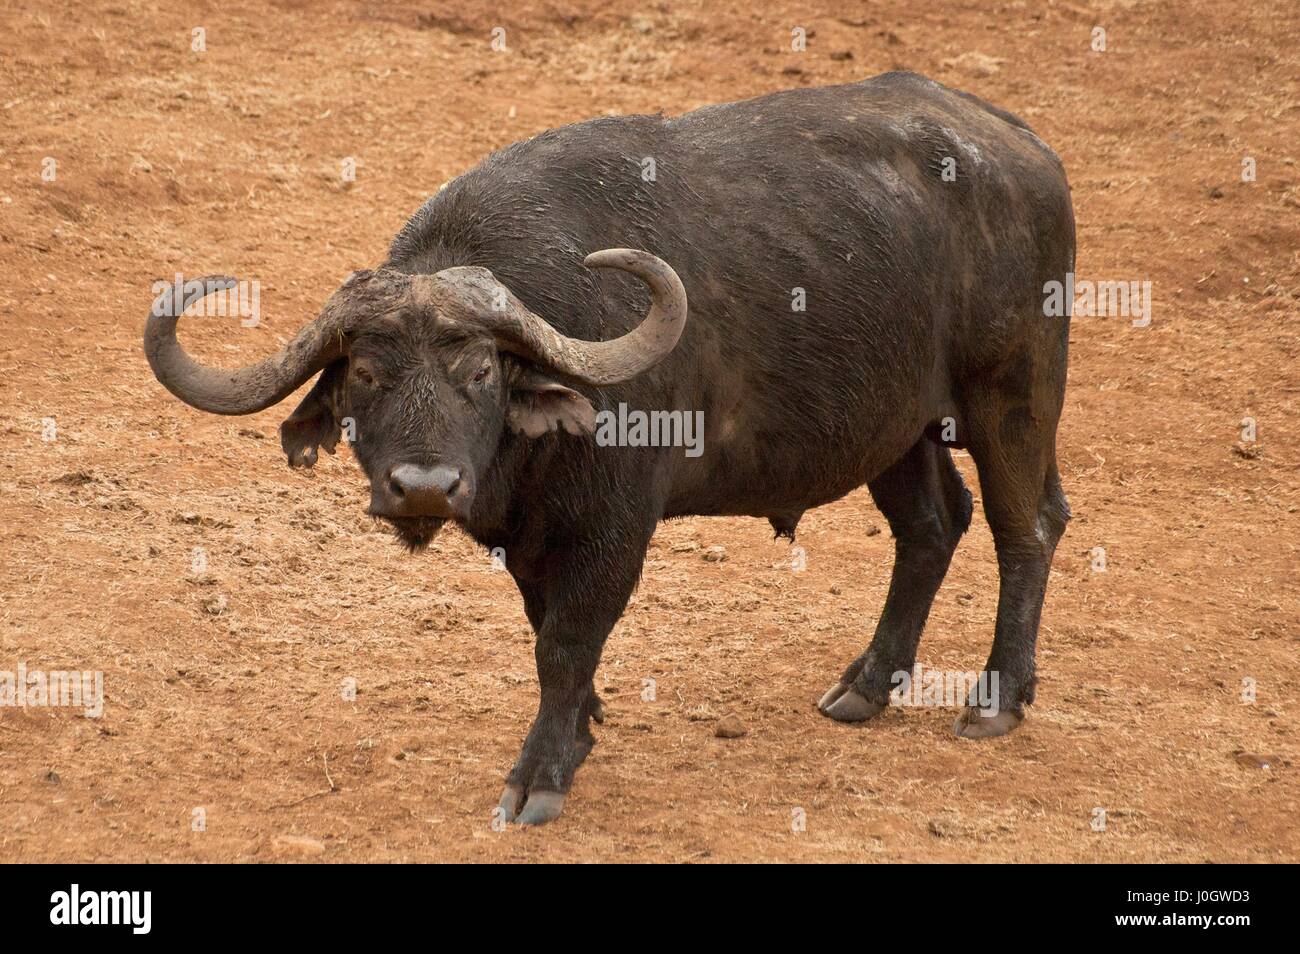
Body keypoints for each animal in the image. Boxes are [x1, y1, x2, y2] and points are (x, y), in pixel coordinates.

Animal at [146, 71, 1074, 825]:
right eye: (365, 375)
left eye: (480, 371)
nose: (425, 486)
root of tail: (1021, 149)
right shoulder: (532, 537)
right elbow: (543, 627)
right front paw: (586, 723)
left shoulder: (614, 527)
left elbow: (564, 641)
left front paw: (542, 773)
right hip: (894, 429)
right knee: (932, 525)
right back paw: (866, 685)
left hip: (1013, 394)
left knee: (1026, 526)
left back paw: (997, 697)